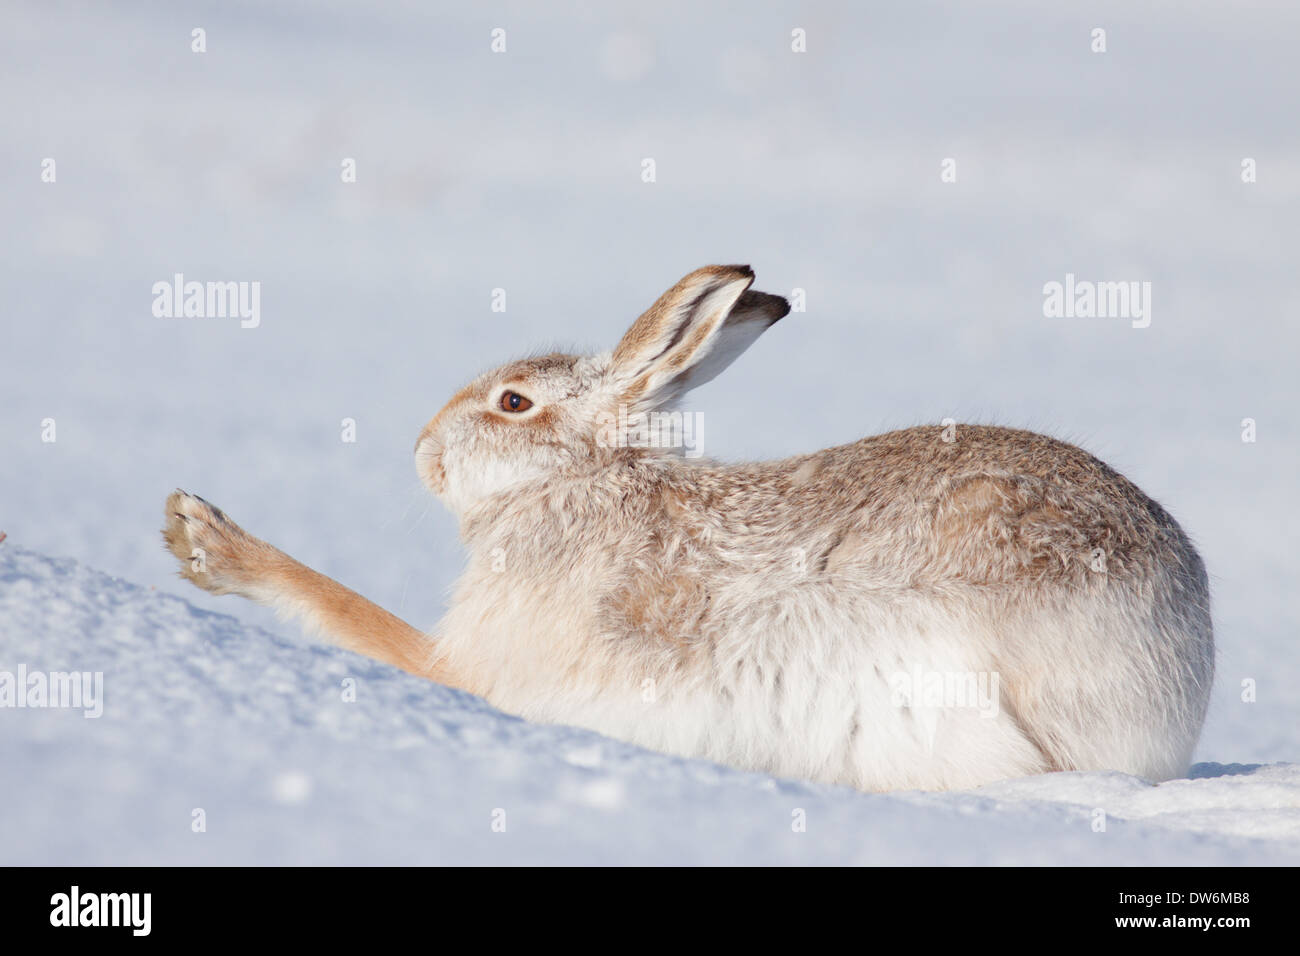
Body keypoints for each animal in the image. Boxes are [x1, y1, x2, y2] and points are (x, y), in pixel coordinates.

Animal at [163, 264, 1214, 792]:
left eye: (513, 404)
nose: (422, 453)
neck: (584, 482)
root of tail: (1181, 656)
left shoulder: (481, 667)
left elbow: (357, 620)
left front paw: (202, 541)